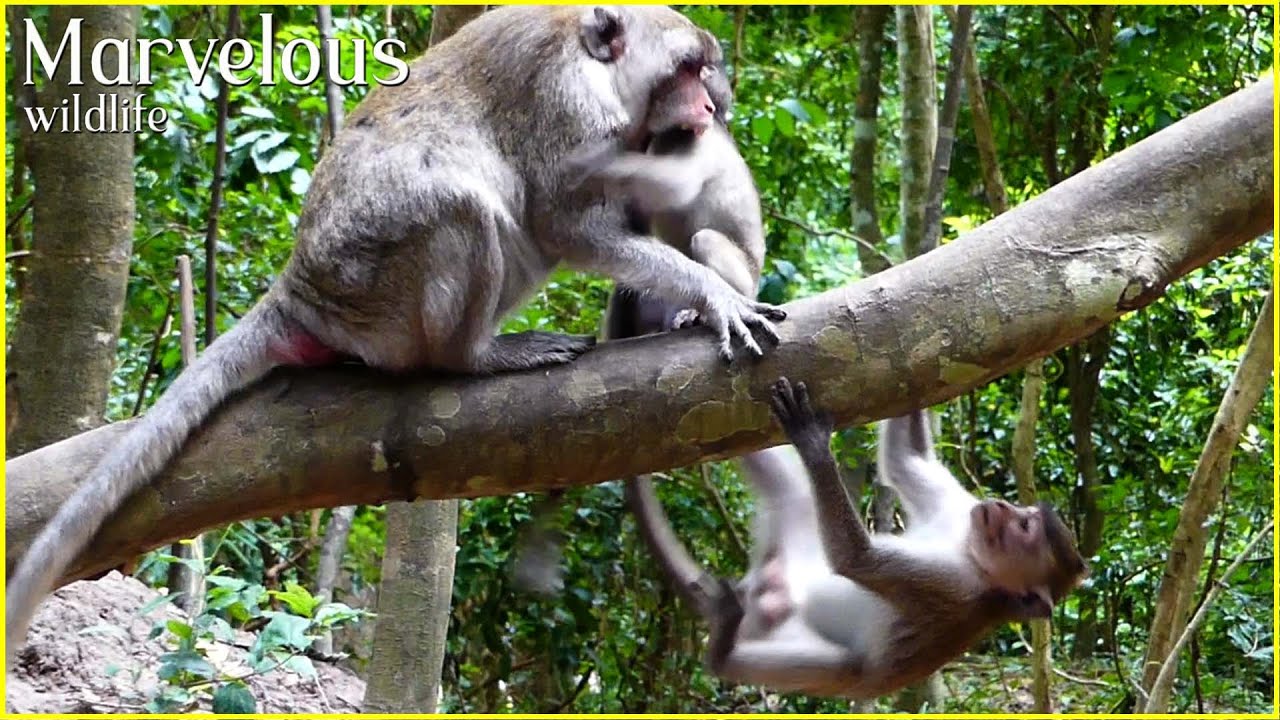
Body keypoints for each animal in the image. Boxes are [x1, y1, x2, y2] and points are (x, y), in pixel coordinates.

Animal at [5, 5, 788, 649]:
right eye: (686, 68)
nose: (710, 104)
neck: (605, 73)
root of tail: (300, 288)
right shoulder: (568, 110)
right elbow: (570, 226)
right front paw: (712, 295)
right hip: (378, 288)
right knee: (460, 205)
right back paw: (474, 357)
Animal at [626, 378, 1090, 698]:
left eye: (1026, 527)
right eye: (1026, 513)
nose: (1000, 506)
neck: (968, 551)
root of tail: (767, 589)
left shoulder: (953, 588)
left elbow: (857, 559)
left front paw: (816, 446)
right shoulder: (959, 508)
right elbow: (904, 458)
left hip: (793, 640)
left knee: (847, 666)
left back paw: (722, 649)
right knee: (794, 493)